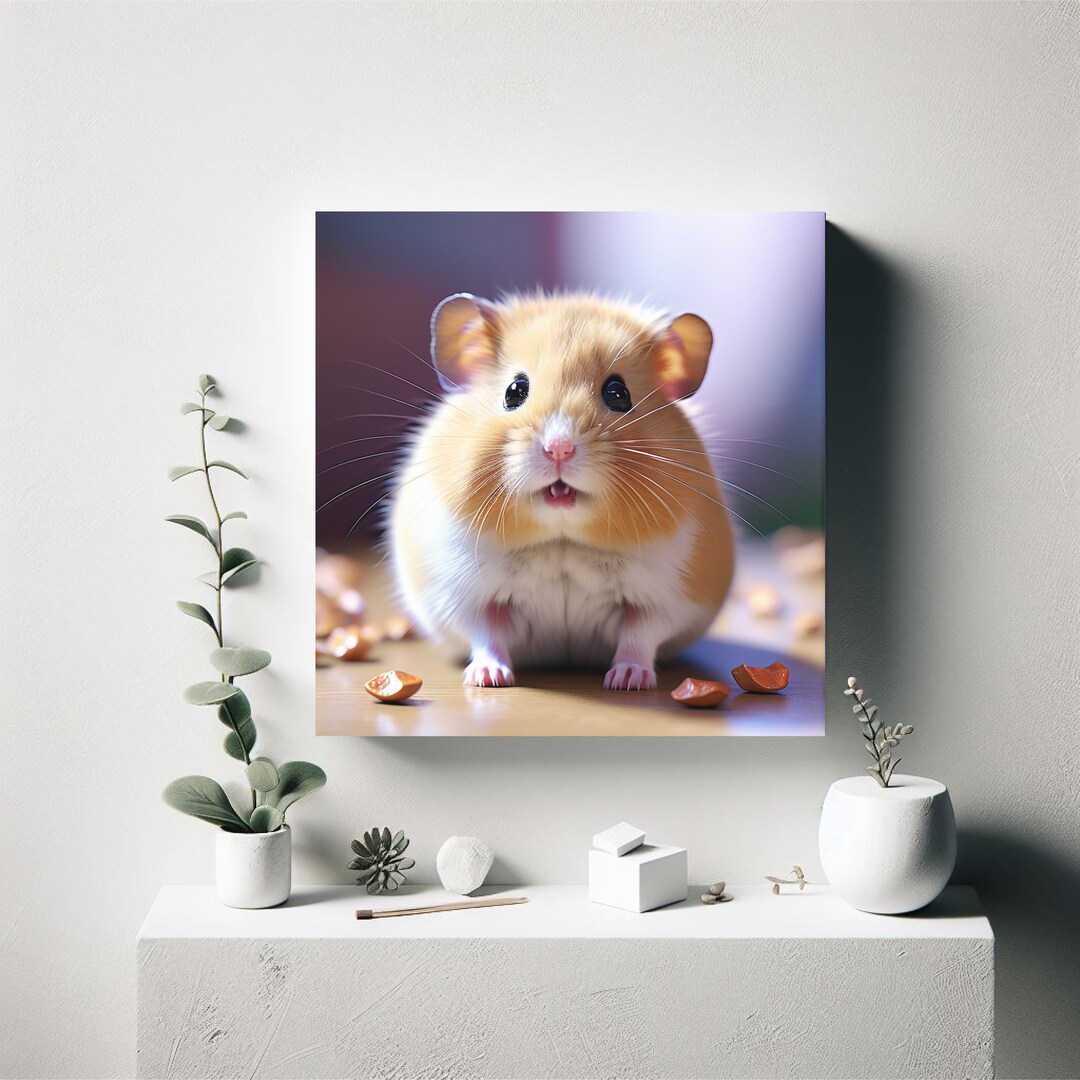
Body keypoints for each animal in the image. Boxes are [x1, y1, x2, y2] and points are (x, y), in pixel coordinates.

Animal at [390, 292, 734, 690]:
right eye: (514, 391)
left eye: (618, 393)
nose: (558, 448)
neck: (561, 540)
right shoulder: (465, 596)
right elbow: (486, 634)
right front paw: (488, 679)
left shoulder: (665, 600)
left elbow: (640, 637)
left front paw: (627, 680)